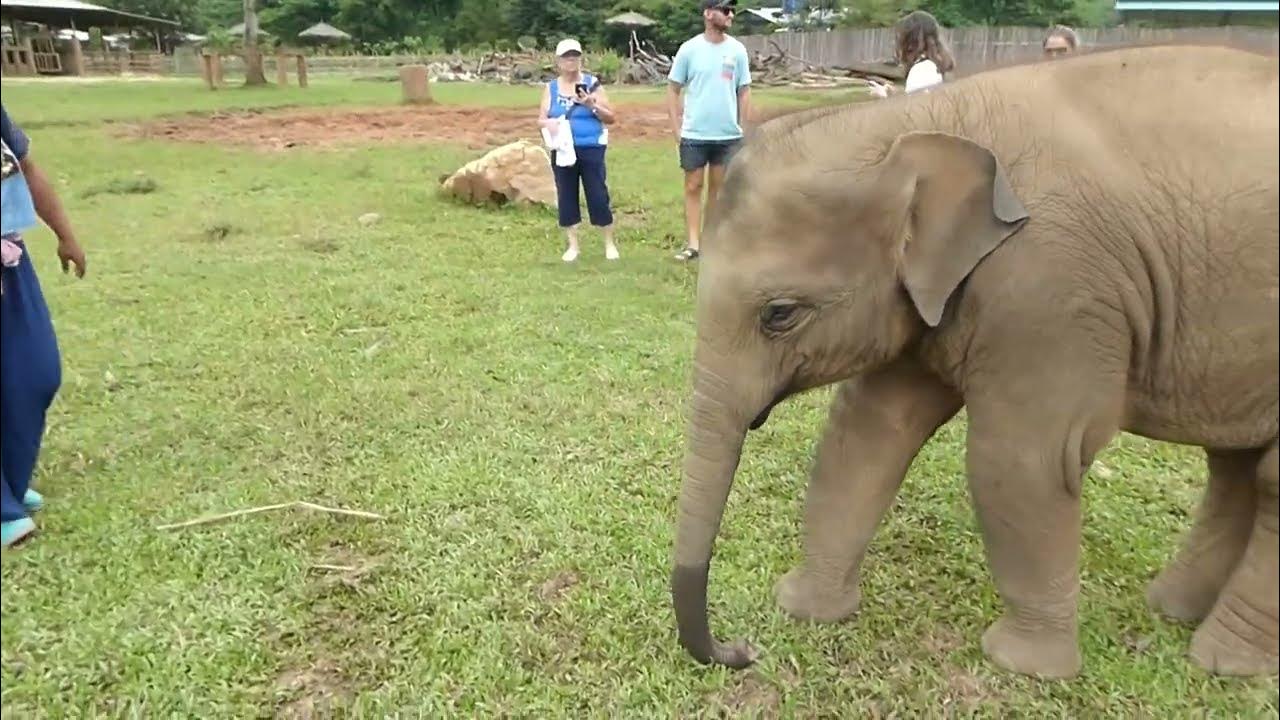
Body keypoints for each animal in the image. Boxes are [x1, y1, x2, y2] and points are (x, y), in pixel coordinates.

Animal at [670, 44, 1279, 680]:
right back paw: (1174, 611)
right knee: (1235, 467)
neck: (917, 121)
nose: (741, 650)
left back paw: (1225, 660)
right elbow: (865, 430)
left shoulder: (1051, 289)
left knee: (1268, 480)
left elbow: (1022, 459)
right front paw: (806, 609)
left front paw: (1027, 667)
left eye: (780, 314)